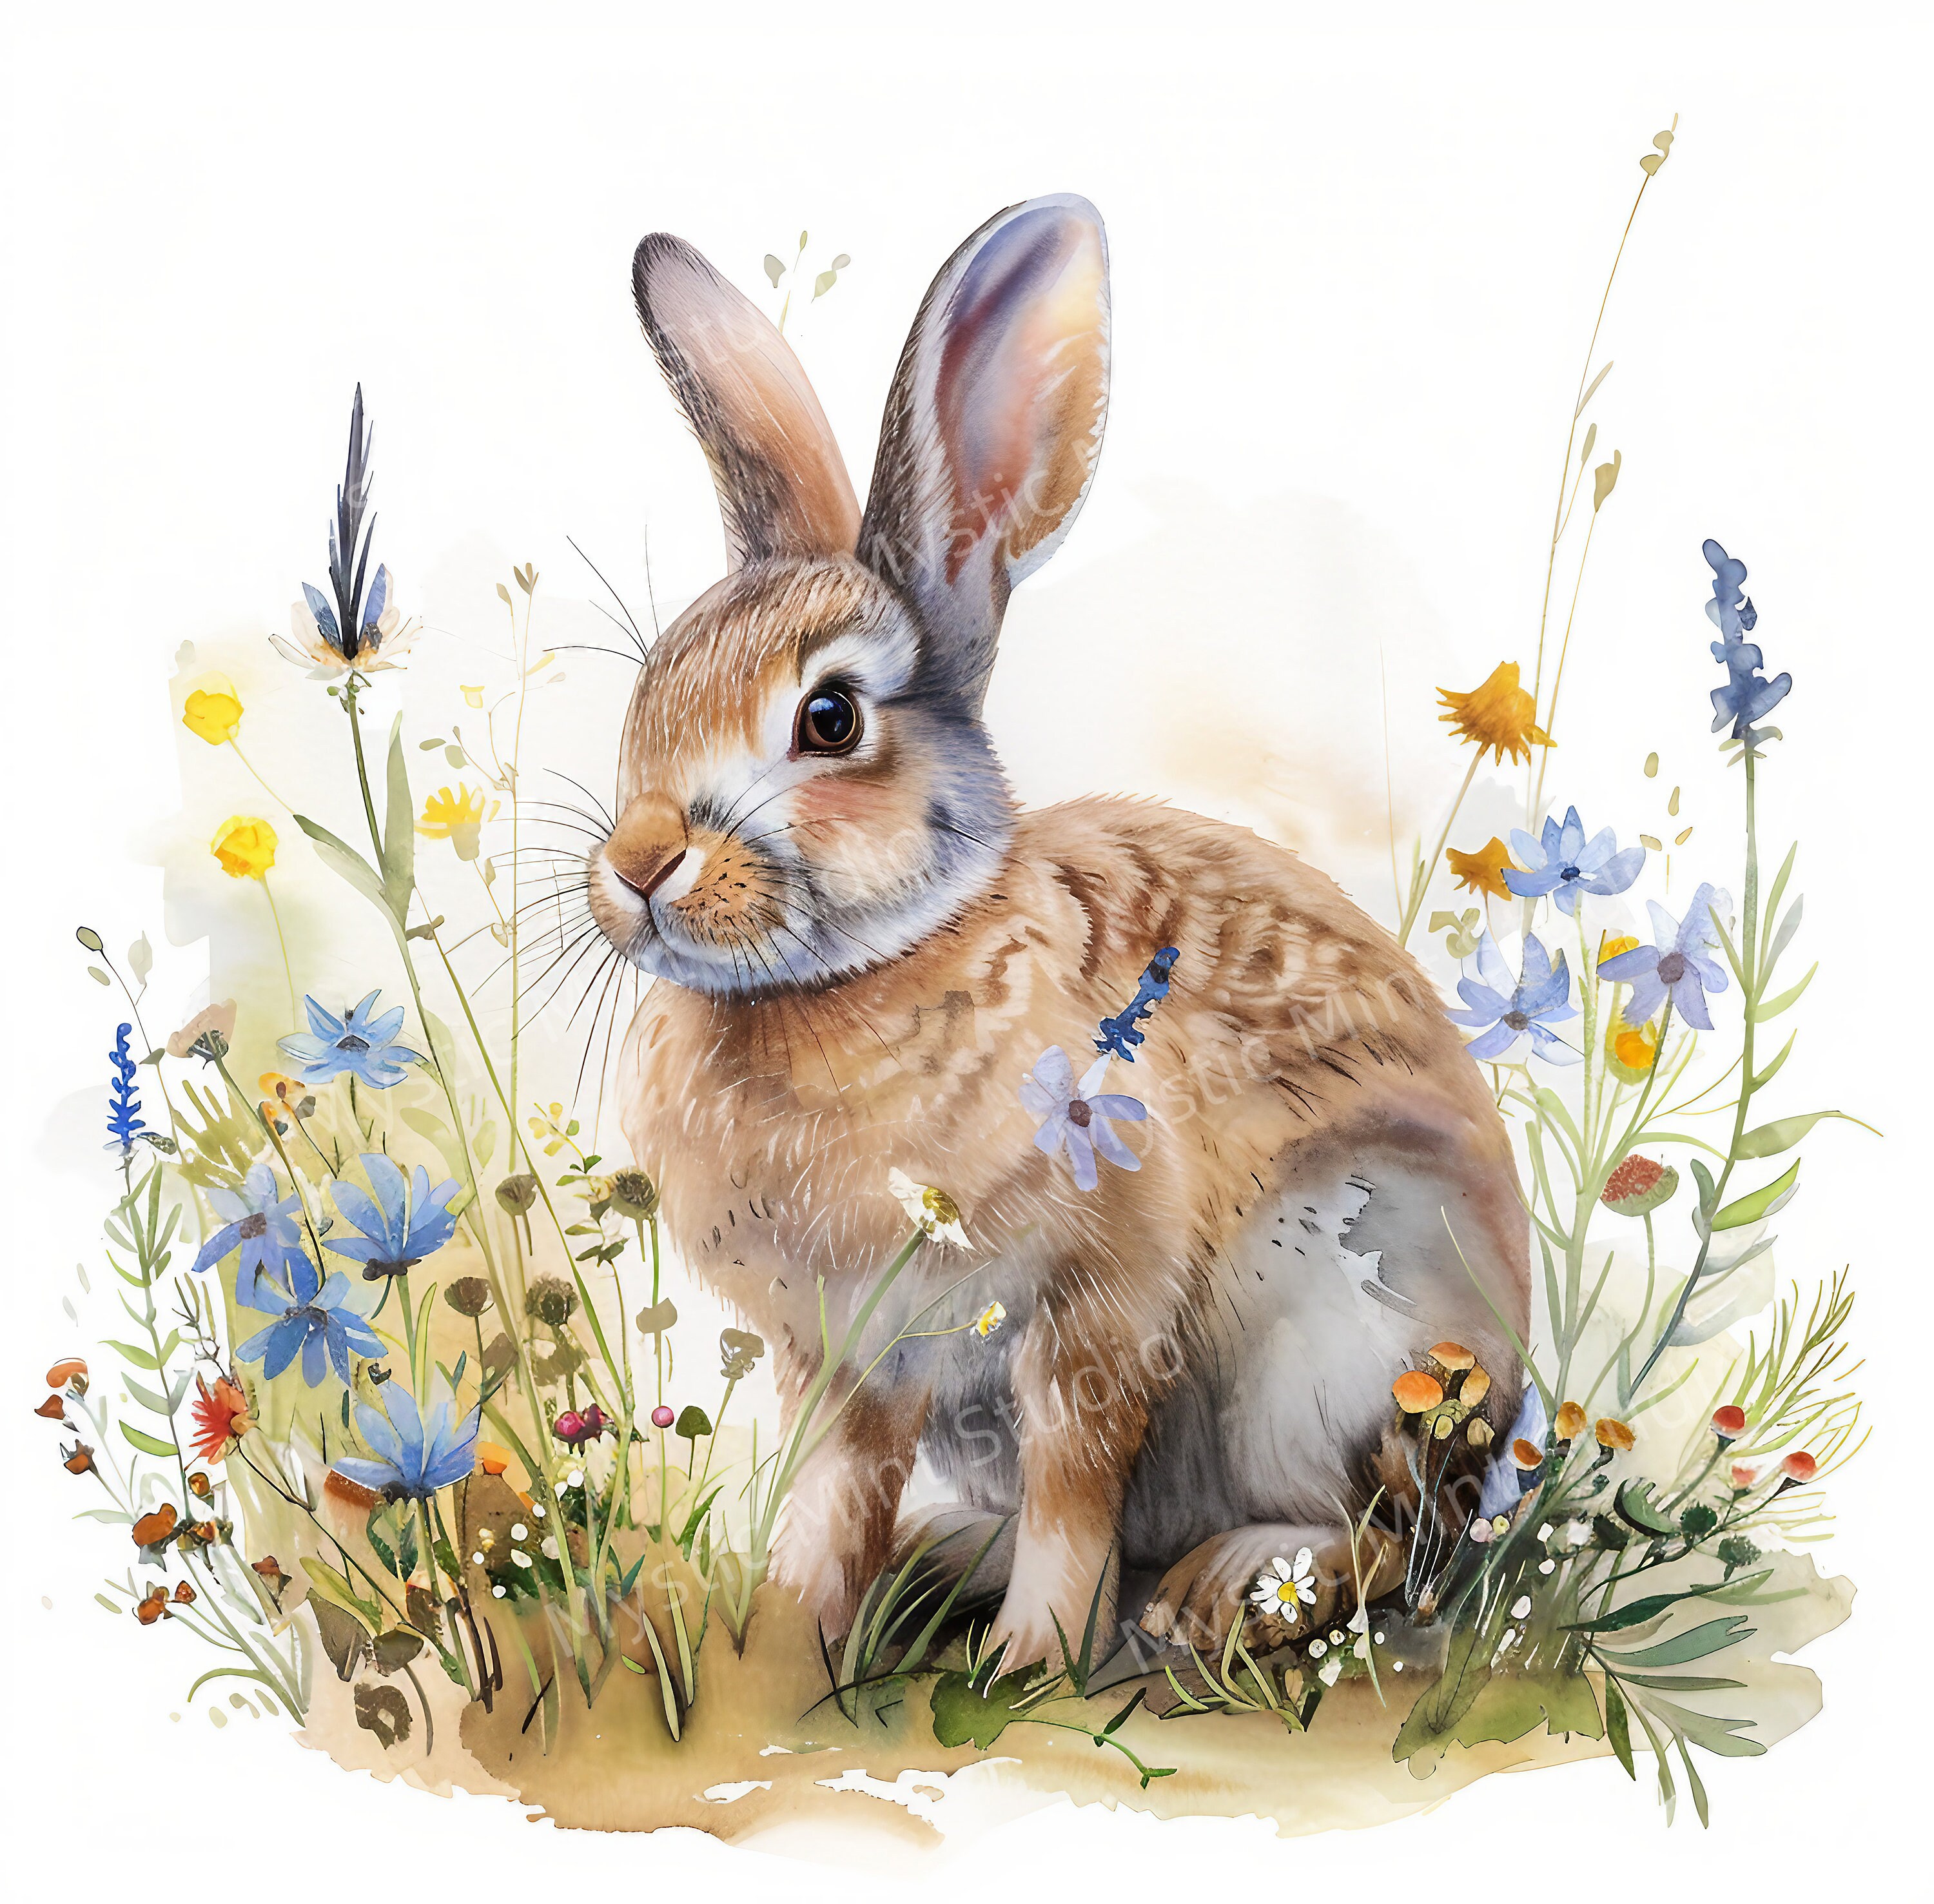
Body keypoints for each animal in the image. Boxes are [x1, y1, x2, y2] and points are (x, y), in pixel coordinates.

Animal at [595, 195, 1530, 1669]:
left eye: (829, 719)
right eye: (650, 690)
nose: (635, 862)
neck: (863, 972)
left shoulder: (1095, 1303)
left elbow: (1075, 1480)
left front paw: (1036, 1658)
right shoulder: (846, 1358)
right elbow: (836, 1490)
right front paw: (786, 1635)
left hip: (1352, 1320)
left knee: (1394, 1540)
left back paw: (1233, 1590)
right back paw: (947, 1561)